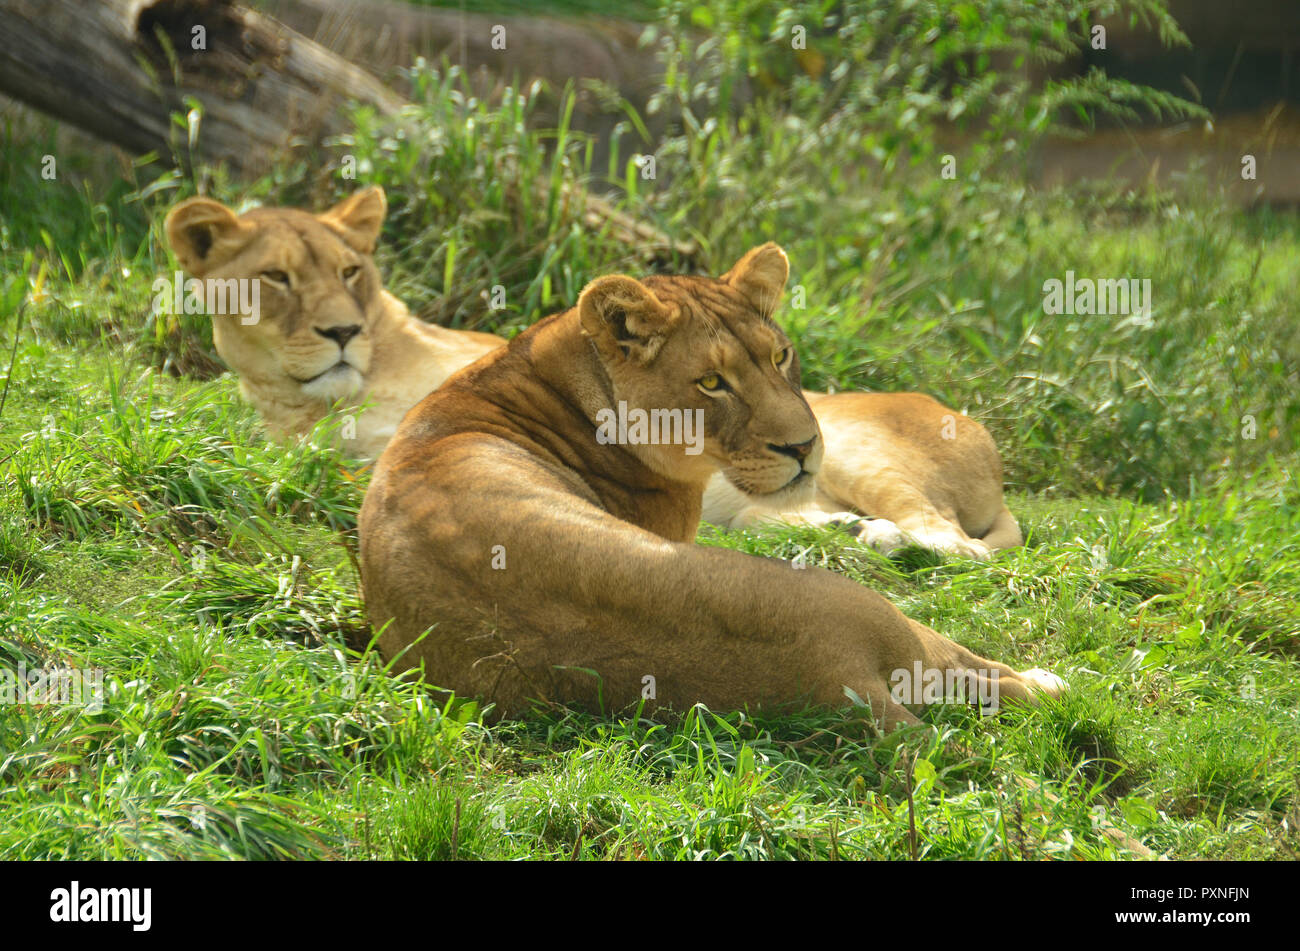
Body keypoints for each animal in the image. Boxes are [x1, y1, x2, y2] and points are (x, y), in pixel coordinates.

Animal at [359, 243, 1062, 727]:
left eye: (779, 356)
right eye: (711, 383)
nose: (805, 447)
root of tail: (835, 673)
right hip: (870, 604)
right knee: (975, 662)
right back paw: (1052, 682)